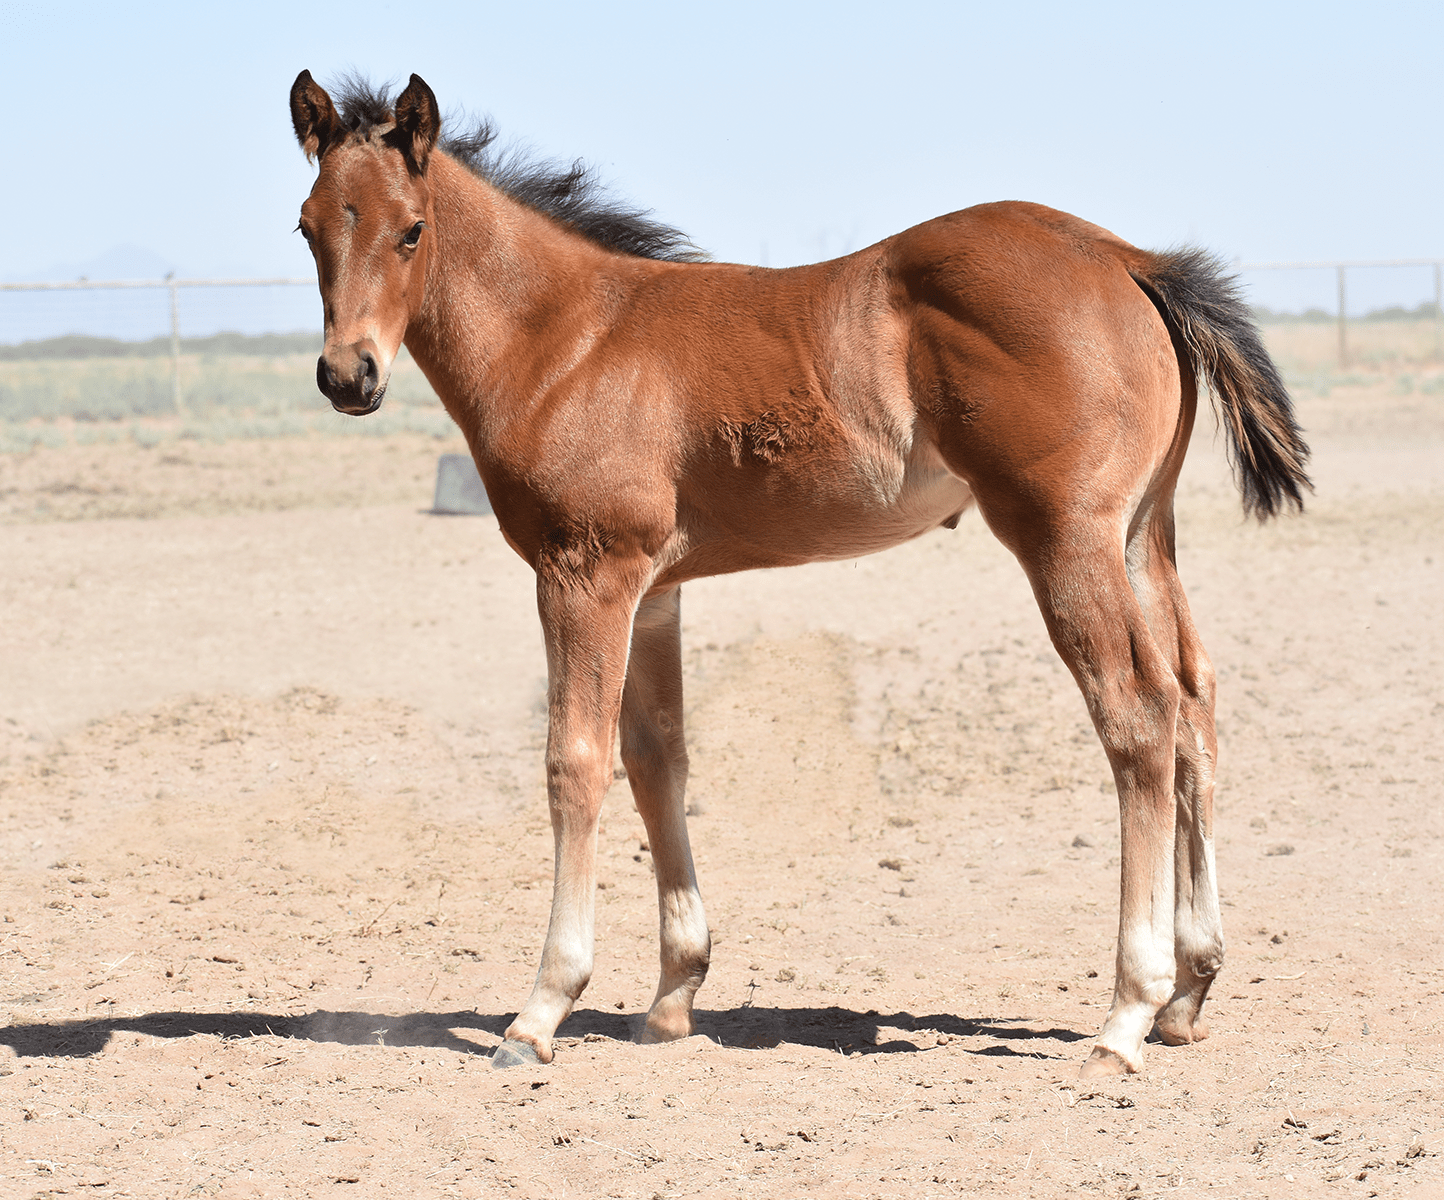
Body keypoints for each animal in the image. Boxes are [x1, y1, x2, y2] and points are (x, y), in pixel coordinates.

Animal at [289, 70, 1310, 1078]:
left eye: (411, 228)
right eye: (307, 226)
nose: (348, 376)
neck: (566, 340)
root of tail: (1128, 257)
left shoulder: (585, 573)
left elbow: (573, 761)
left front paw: (540, 1010)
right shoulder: (654, 591)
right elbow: (657, 758)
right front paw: (672, 996)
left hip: (1066, 536)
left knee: (1137, 715)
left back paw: (1126, 1014)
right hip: (1143, 532)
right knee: (1193, 703)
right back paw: (1189, 992)